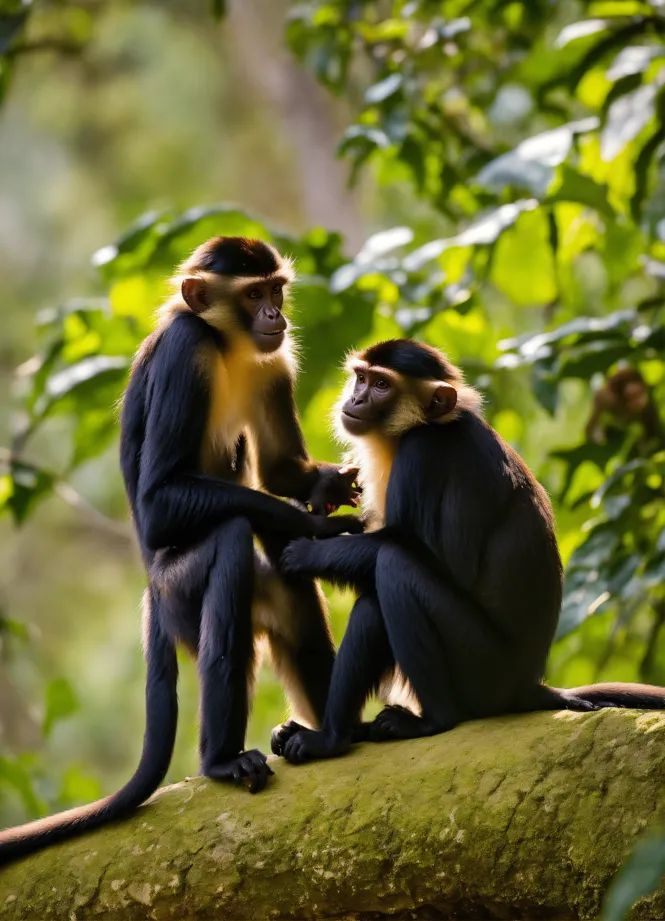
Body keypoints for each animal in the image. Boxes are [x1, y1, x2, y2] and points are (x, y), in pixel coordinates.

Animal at [0, 236, 363, 864]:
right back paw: (220, 760)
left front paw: (328, 487)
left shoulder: (275, 361)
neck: (226, 344)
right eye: (252, 294)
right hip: (179, 588)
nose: (275, 315)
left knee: (287, 593)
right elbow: (161, 501)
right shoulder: (184, 351)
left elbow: (278, 468)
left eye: (276, 290)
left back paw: (332, 736)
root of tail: (152, 590)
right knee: (234, 537)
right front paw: (310, 523)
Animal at [272, 339, 665, 764]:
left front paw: (305, 553)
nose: (356, 398)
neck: (426, 424)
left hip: (481, 667)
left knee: (393, 566)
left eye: (381, 385)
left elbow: (413, 553)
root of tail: (526, 685)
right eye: (361, 378)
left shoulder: (421, 452)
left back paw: (382, 729)